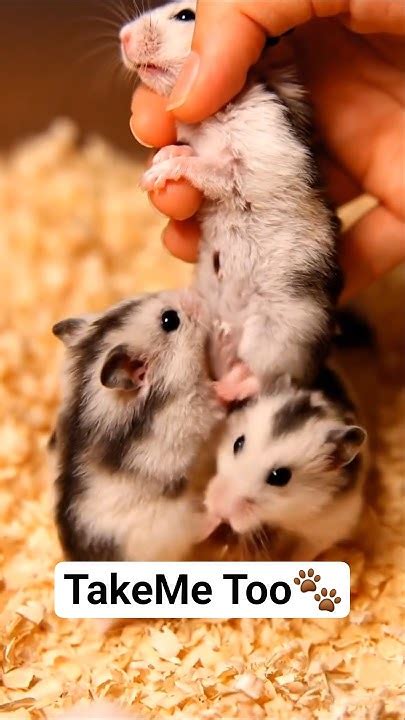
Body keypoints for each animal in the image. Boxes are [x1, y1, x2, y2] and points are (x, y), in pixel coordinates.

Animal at [51, 290, 223, 562]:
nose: (195, 295)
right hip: (169, 524)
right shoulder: (191, 410)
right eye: (169, 320)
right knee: (197, 528)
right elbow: (214, 398)